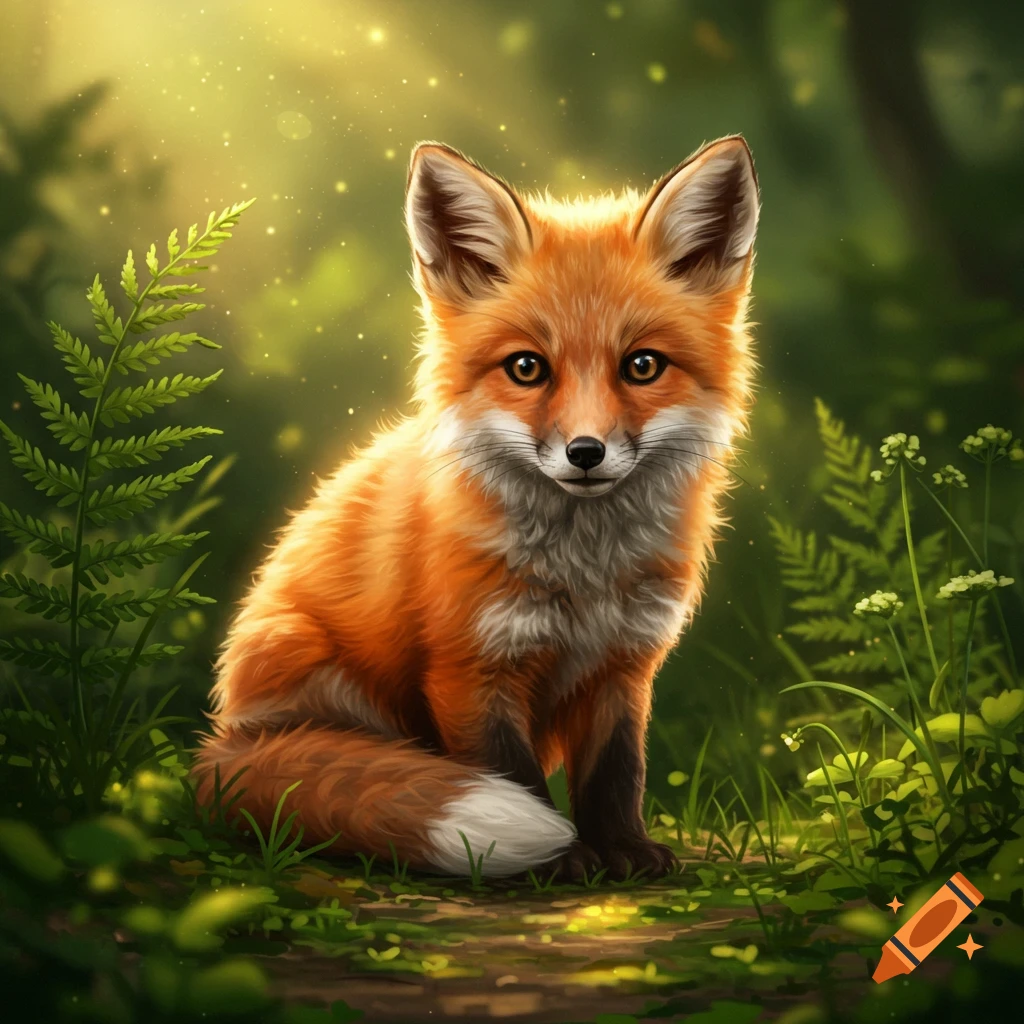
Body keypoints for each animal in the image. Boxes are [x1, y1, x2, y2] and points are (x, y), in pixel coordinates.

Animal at [194, 135, 760, 881]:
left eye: (642, 366)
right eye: (526, 368)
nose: (585, 452)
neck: (585, 575)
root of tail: (223, 745)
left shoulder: (623, 666)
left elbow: (616, 773)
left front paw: (623, 850)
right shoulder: (470, 667)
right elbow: (512, 774)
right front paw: (558, 860)